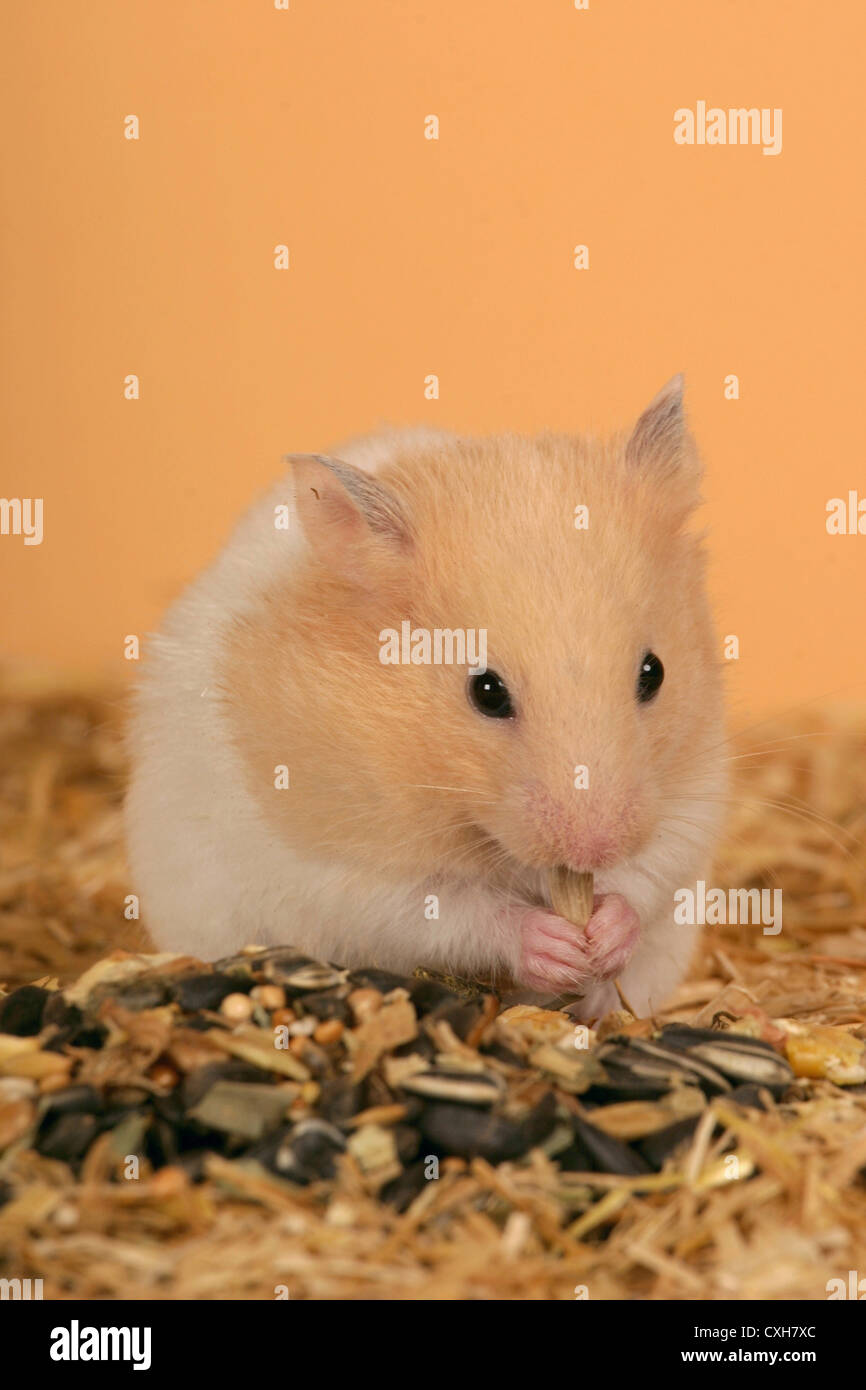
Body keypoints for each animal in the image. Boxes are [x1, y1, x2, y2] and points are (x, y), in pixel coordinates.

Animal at [125, 376, 727, 1020]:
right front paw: (556, 945)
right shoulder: (345, 869)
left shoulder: (694, 793)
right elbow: (449, 910)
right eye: (486, 692)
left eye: (653, 673)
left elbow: (647, 873)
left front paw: (605, 933)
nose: (595, 849)